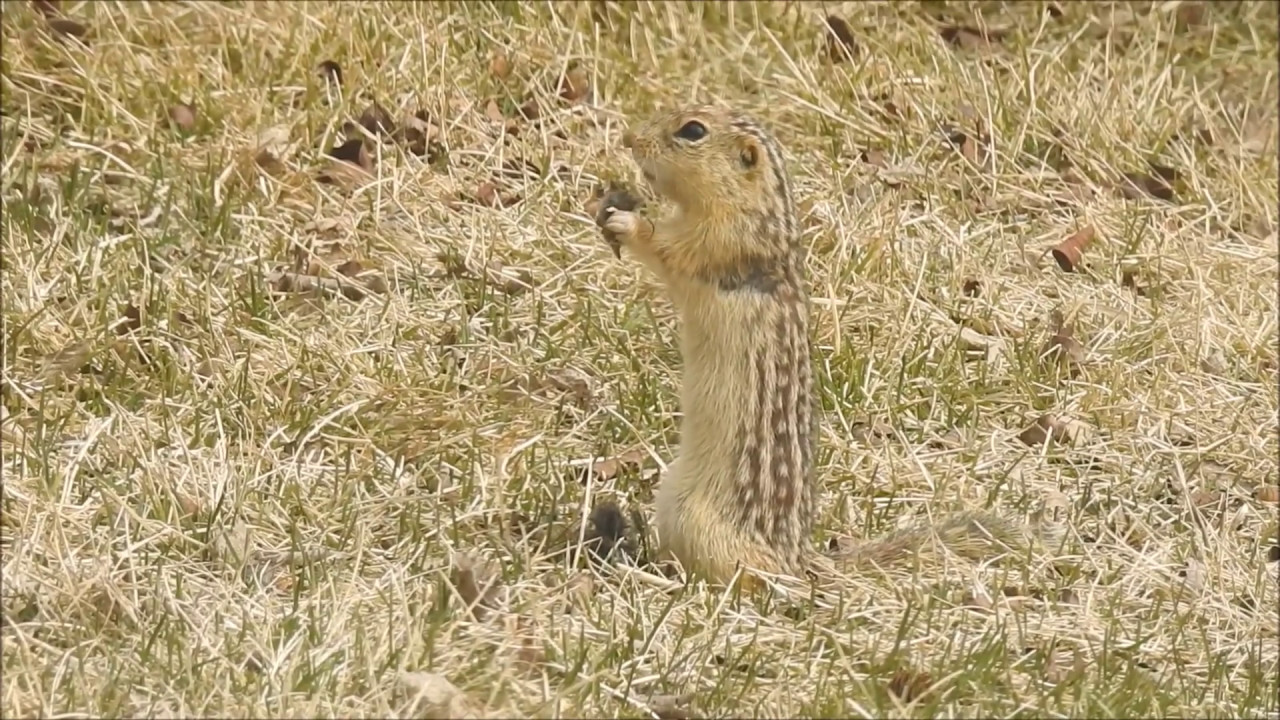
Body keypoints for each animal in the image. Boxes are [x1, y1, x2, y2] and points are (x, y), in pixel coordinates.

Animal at [590, 104, 1061, 590]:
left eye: (693, 131)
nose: (629, 138)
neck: (759, 210)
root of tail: (798, 559)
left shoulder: (719, 244)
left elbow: (667, 248)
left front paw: (627, 221)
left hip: (703, 526)